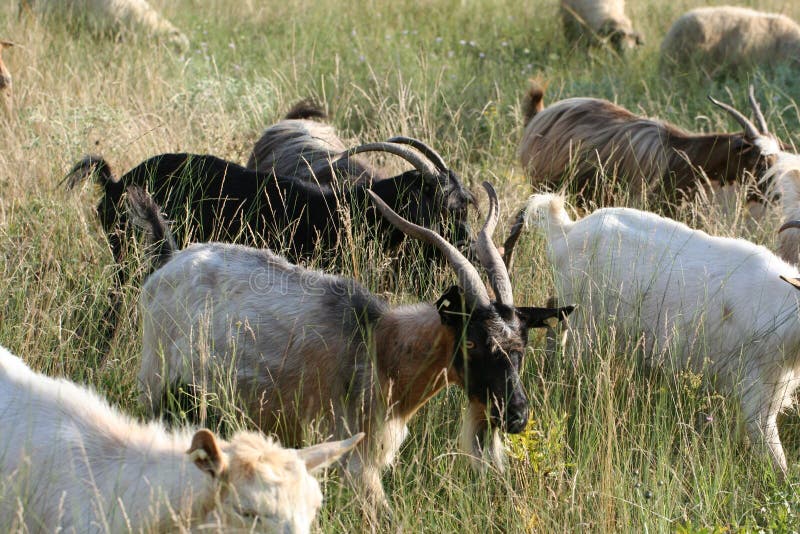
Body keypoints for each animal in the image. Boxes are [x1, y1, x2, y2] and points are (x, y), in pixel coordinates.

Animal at [129, 182, 574, 508]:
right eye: (475, 343)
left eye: (521, 346)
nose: (517, 415)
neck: (381, 345)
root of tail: (168, 262)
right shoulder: (355, 460)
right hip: (154, 382)